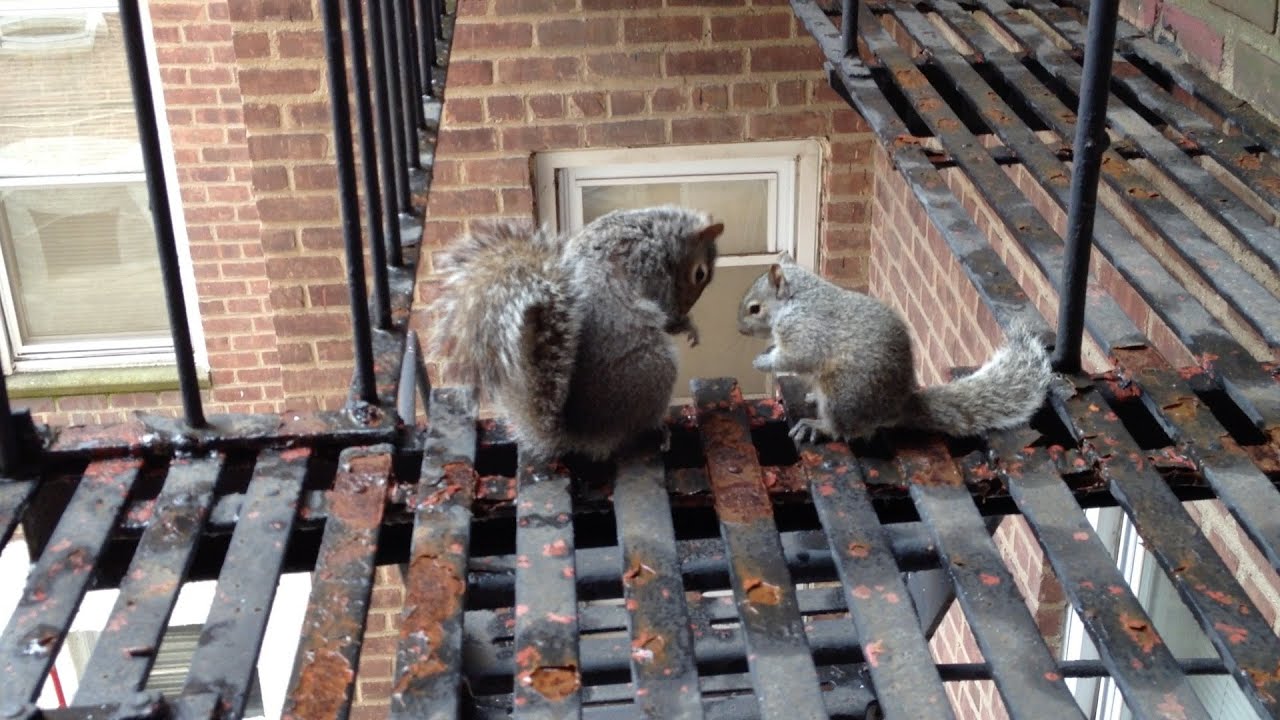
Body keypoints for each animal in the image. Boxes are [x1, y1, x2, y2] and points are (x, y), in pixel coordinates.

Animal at [431, 206, 723, 460]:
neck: (654, 230)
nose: (686, 308)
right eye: (700, 274)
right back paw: (658, 429)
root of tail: (583, 436)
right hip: (657, 369)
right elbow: (664, 311)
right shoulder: (648, 266)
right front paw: (686, 325)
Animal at [737, 258, 1051, 443]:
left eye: (755, 308)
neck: (796, 300)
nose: (739, 329)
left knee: (845, 430)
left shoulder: (806, 330)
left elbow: (796, 356)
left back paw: (817, 426)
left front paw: (763, 361)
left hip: (843, 394)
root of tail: (898, 405)